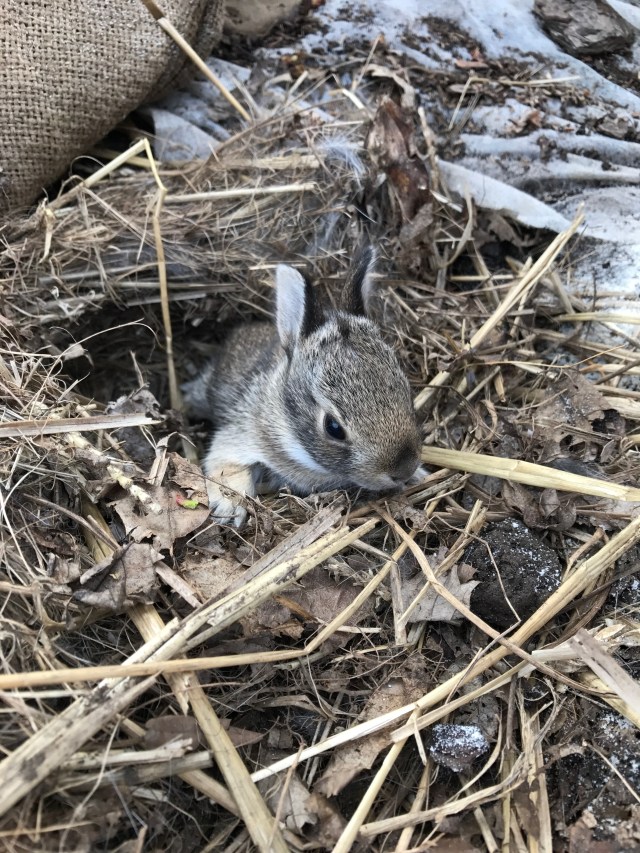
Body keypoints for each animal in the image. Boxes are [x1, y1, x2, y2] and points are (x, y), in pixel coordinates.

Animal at [184, 247, 422, 527]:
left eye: (406, 392)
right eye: (333, 428)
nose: (404, 470)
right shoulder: (238, 436)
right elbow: (227, 466)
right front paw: (230, 509)